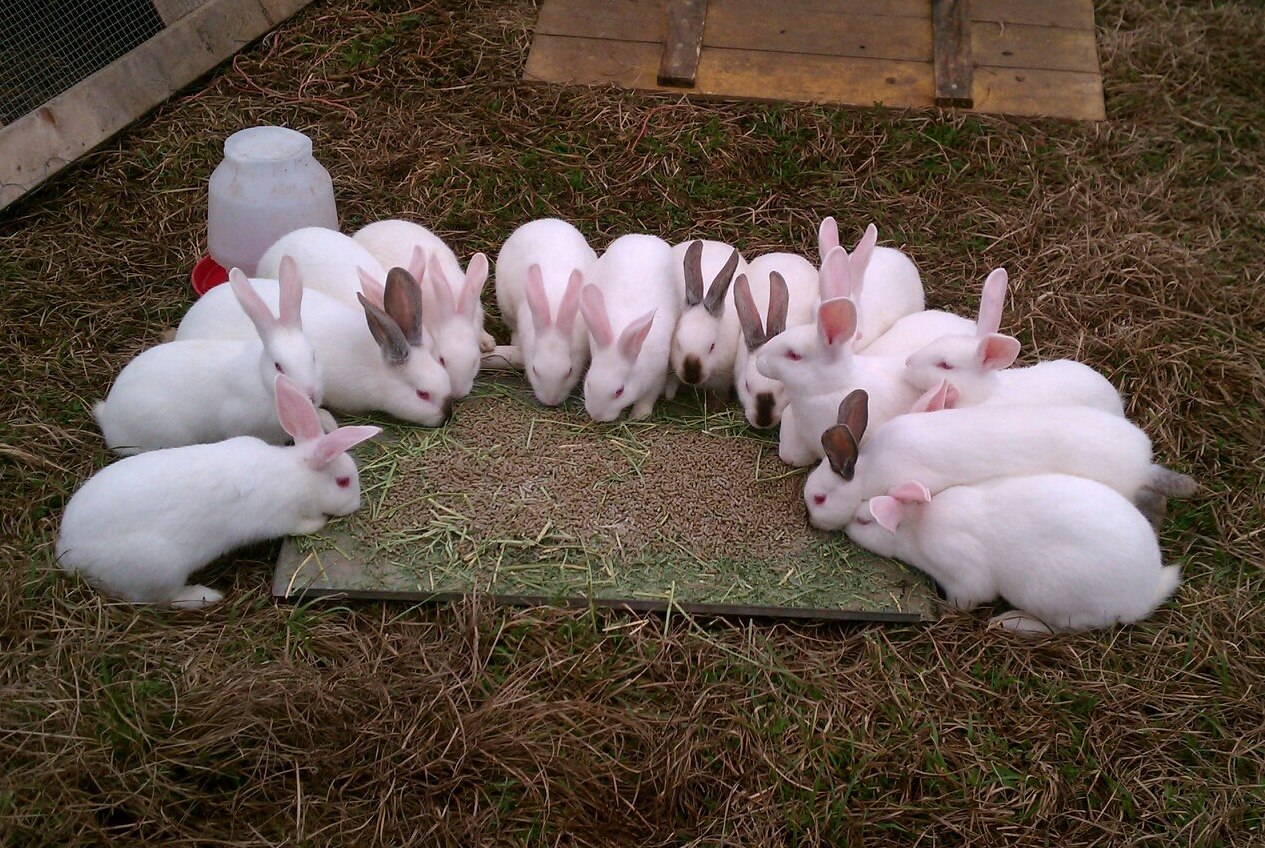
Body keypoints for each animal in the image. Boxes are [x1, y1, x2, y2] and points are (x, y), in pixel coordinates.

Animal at [58, 373, 381, 609]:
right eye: (343, 482)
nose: (356, 504)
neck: (297, 473)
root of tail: (68, 552)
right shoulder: (277, 518)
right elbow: (300, 525)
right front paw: (319, 522)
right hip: (159, 567)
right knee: (157, 599)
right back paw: (206, 596)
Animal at [579, 233, 681, 421]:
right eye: (588, 383)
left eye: (619, 391)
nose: (596, 416)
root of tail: (643, 237)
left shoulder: (656, 380)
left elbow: (647, 399)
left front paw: (638, 415)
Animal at [845, 474, 1182, 633]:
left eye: (864, 521)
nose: (846, 525)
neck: (917, 526)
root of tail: (1143, 595)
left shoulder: (963, 576)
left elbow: (966, 599)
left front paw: (945, 608)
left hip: (1050, 595)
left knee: (1060, 629)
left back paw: (1011, 622)